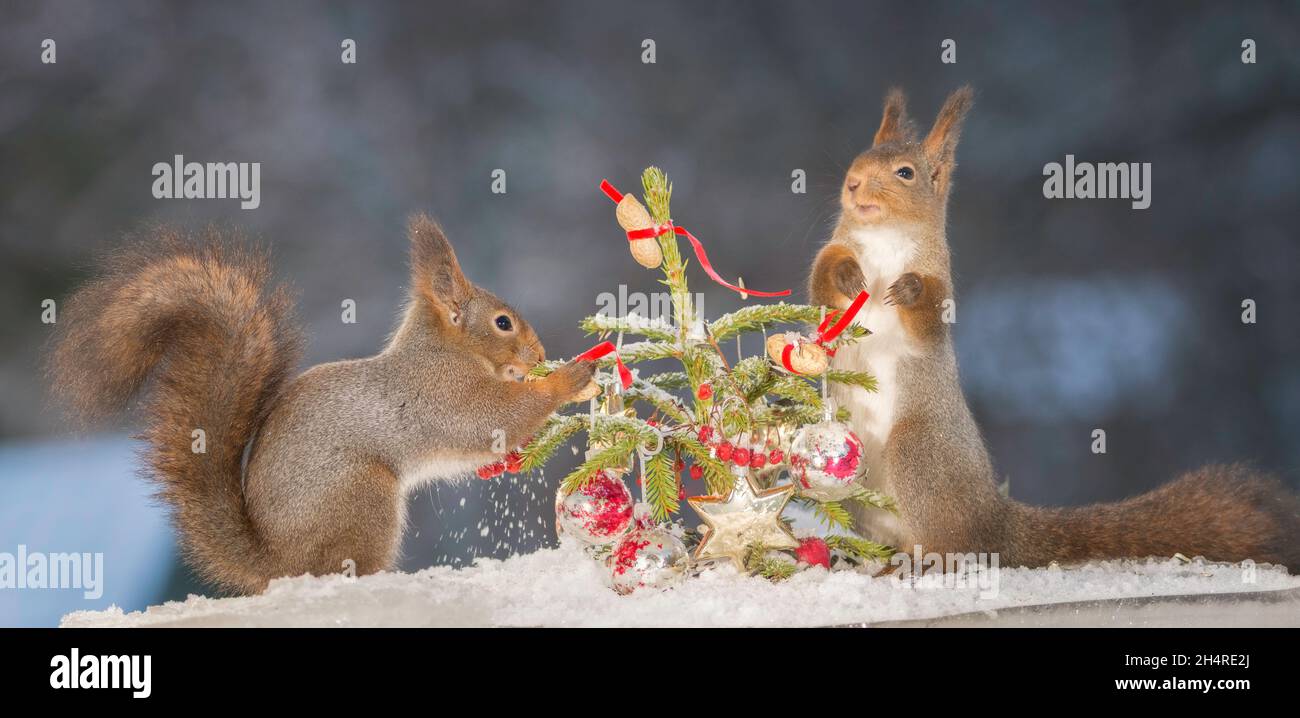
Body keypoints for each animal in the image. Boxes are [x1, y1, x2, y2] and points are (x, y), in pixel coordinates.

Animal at [47, 215, 598, 594]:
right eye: (503, 323)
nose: (540, 356)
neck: (444, 350)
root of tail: (277, 563)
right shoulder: (446, 394)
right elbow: (495, 420)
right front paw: (568, 379)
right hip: (363, 495)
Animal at [810, 87, 1300, 572]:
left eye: (905, 173)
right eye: (859, 157)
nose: (853, 183)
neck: (885, 237)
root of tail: (997, 522)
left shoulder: (939, 281)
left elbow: (928, 321)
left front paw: (909, 290)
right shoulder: (834, 265)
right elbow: (821, 284)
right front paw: (848, 274)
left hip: (918, 451)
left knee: (954, 546)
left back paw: (919, 563)